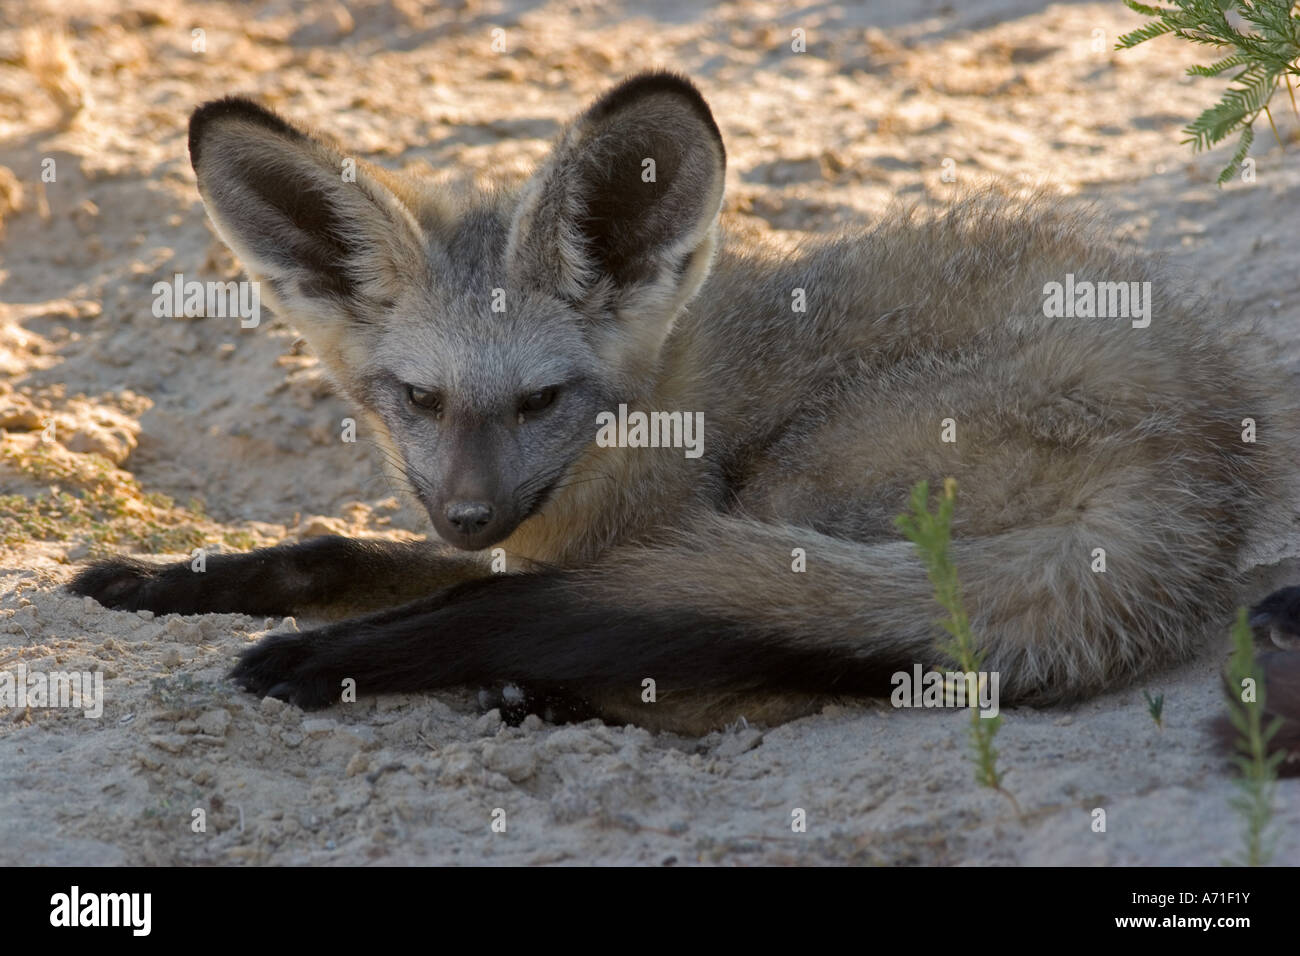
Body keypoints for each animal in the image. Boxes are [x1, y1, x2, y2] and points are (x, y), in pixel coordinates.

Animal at [69, 71, 1296, 736]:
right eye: (417, 398)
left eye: (542, 399)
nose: (464, 514)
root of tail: (1197, 475)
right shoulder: (540, 542)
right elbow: (332, 550)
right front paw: (161, 580)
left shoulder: (639, 537)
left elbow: (476, 595)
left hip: (798, 489)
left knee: (799, 671)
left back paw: (541, 689)